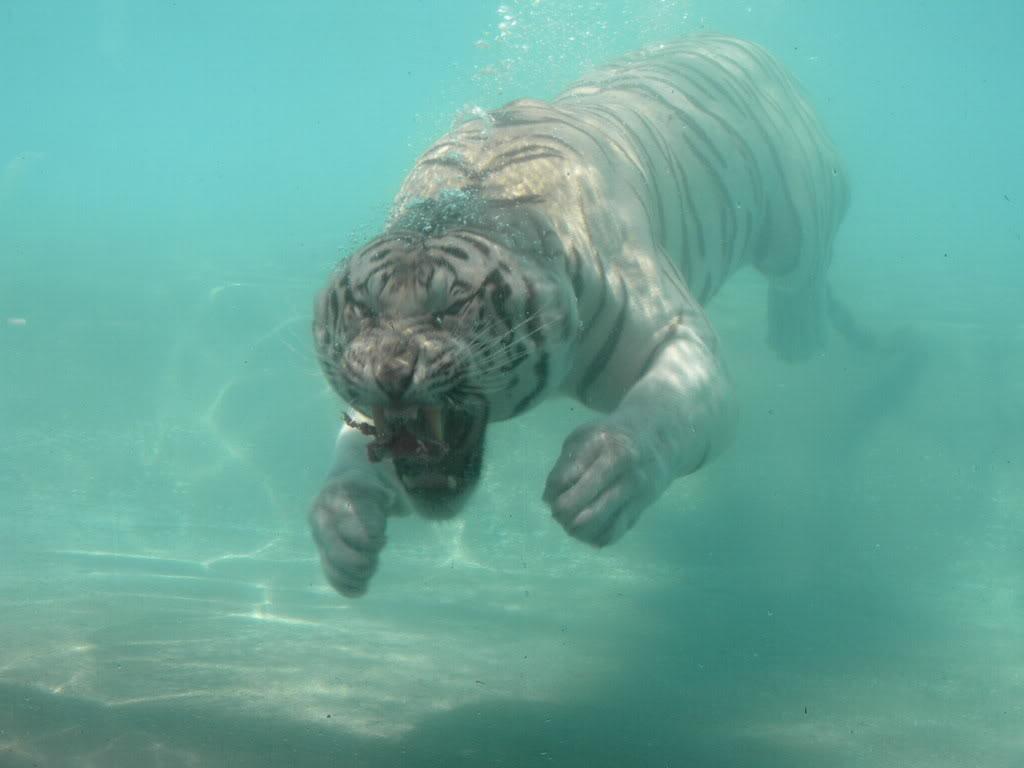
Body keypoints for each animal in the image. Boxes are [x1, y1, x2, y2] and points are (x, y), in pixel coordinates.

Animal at [310, 33, 848, 597]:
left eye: (451, 307)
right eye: (363, 308)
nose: (390, 375)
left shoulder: (680, 334)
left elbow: (667, 410)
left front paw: (601, 478)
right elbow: (351, 446)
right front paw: (343, 526)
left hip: (796, 214)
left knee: (810, 261)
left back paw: (799, 333)